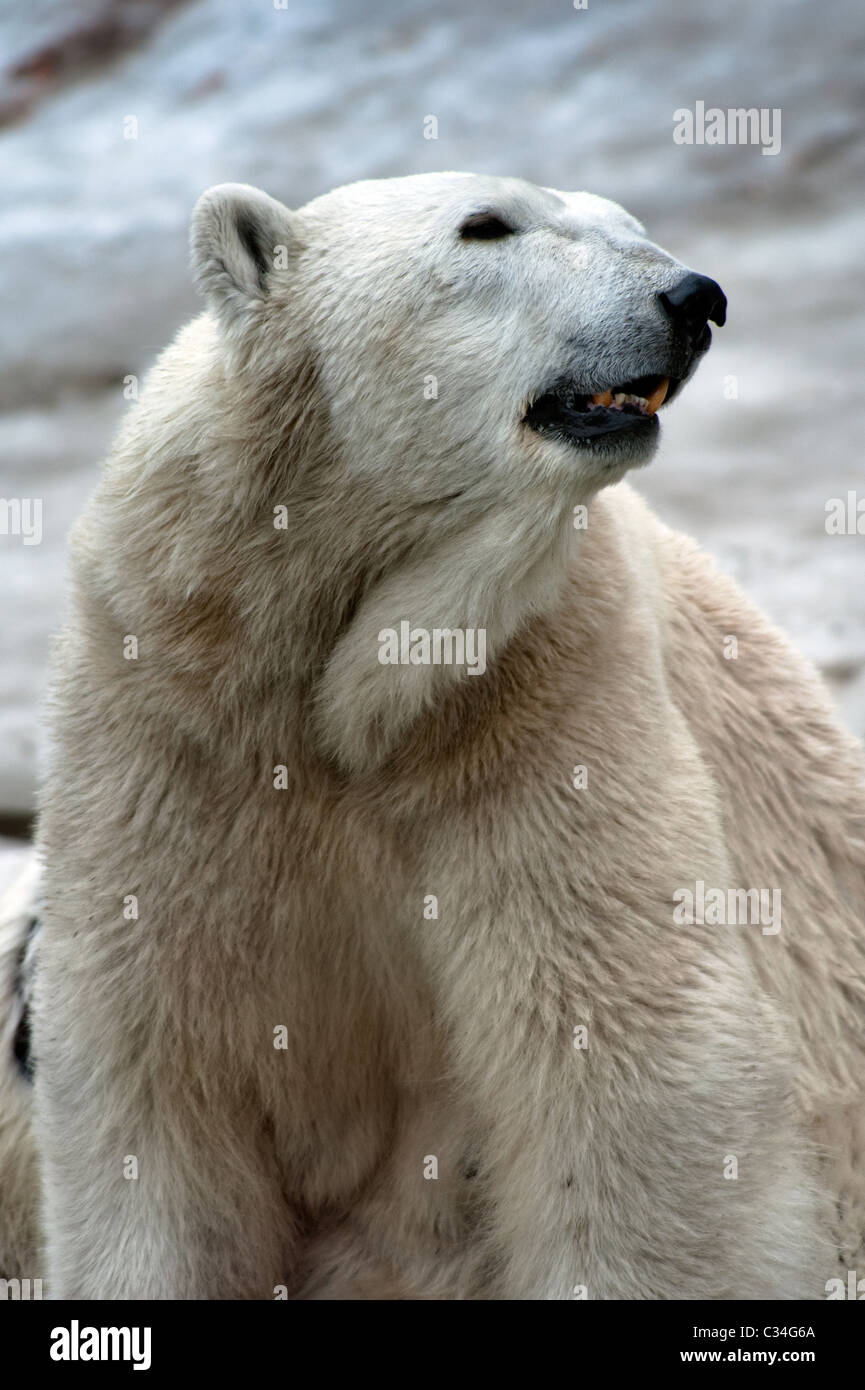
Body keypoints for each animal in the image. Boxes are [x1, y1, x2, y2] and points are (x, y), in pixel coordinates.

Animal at [12, 172, 865, 1299]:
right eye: (486, 226)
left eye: (629, 226)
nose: (693, 296)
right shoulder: (169, 718)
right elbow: (150, 1075)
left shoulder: (533, 699)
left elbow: (626, 1060)